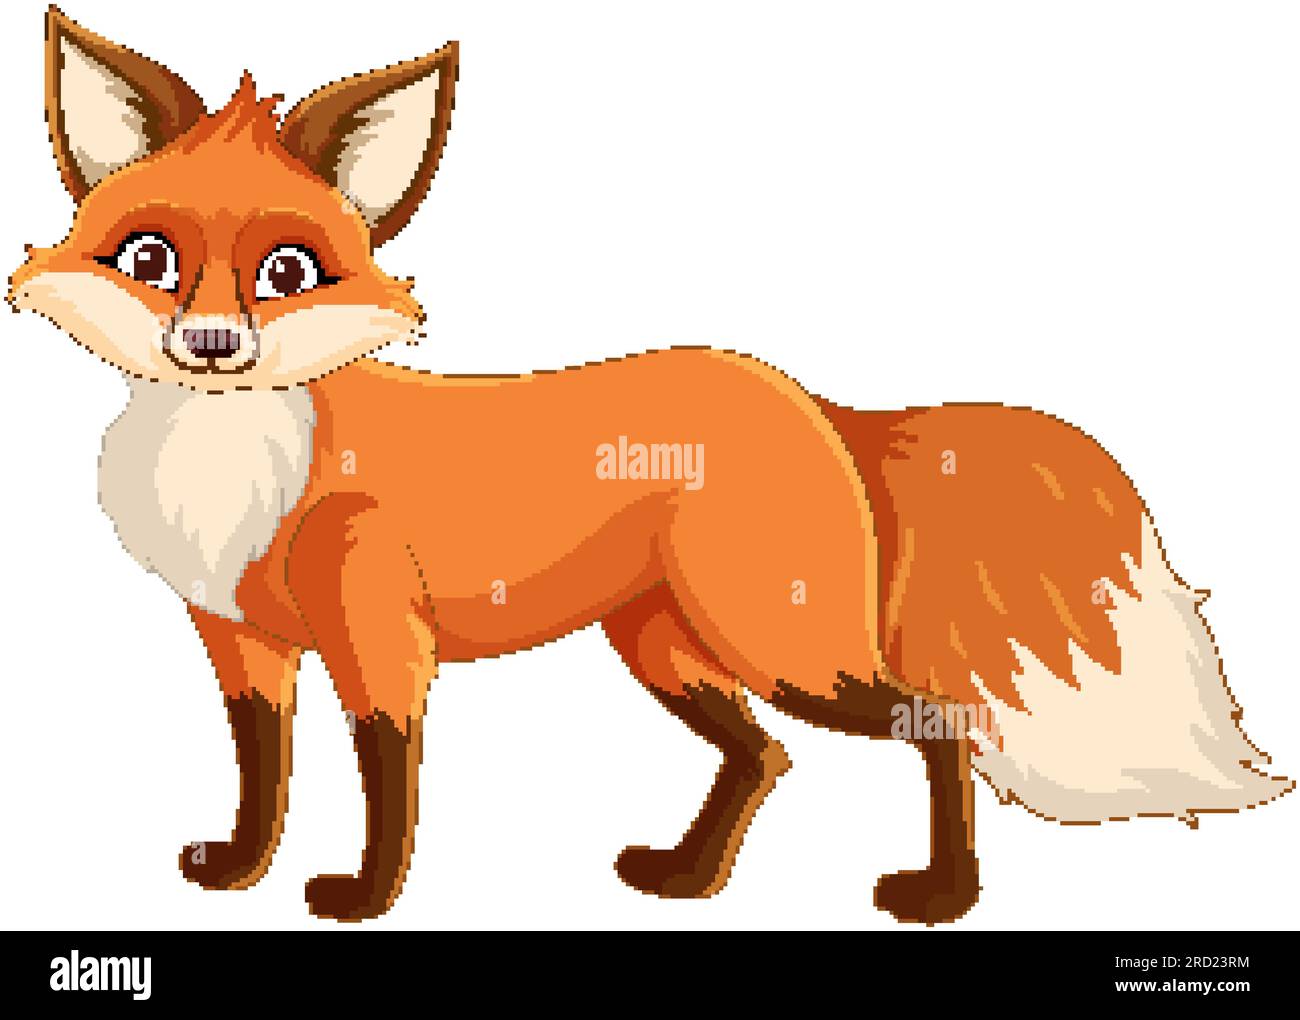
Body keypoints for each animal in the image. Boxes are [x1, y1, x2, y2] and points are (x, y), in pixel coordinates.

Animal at [8, 7, 1292, 924]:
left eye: (287, 273)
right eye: (150, 260)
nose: (212, 347)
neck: (230, 467)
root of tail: (810, 397)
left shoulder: (378, 636)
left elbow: (386, 783)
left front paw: (364, 899)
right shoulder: (242, 643)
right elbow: (261, 774)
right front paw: (238, 871)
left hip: (781, 647)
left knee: (936, 722)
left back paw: (940, 898)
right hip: (666, 646)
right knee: (766, 756)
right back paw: (688, 878)